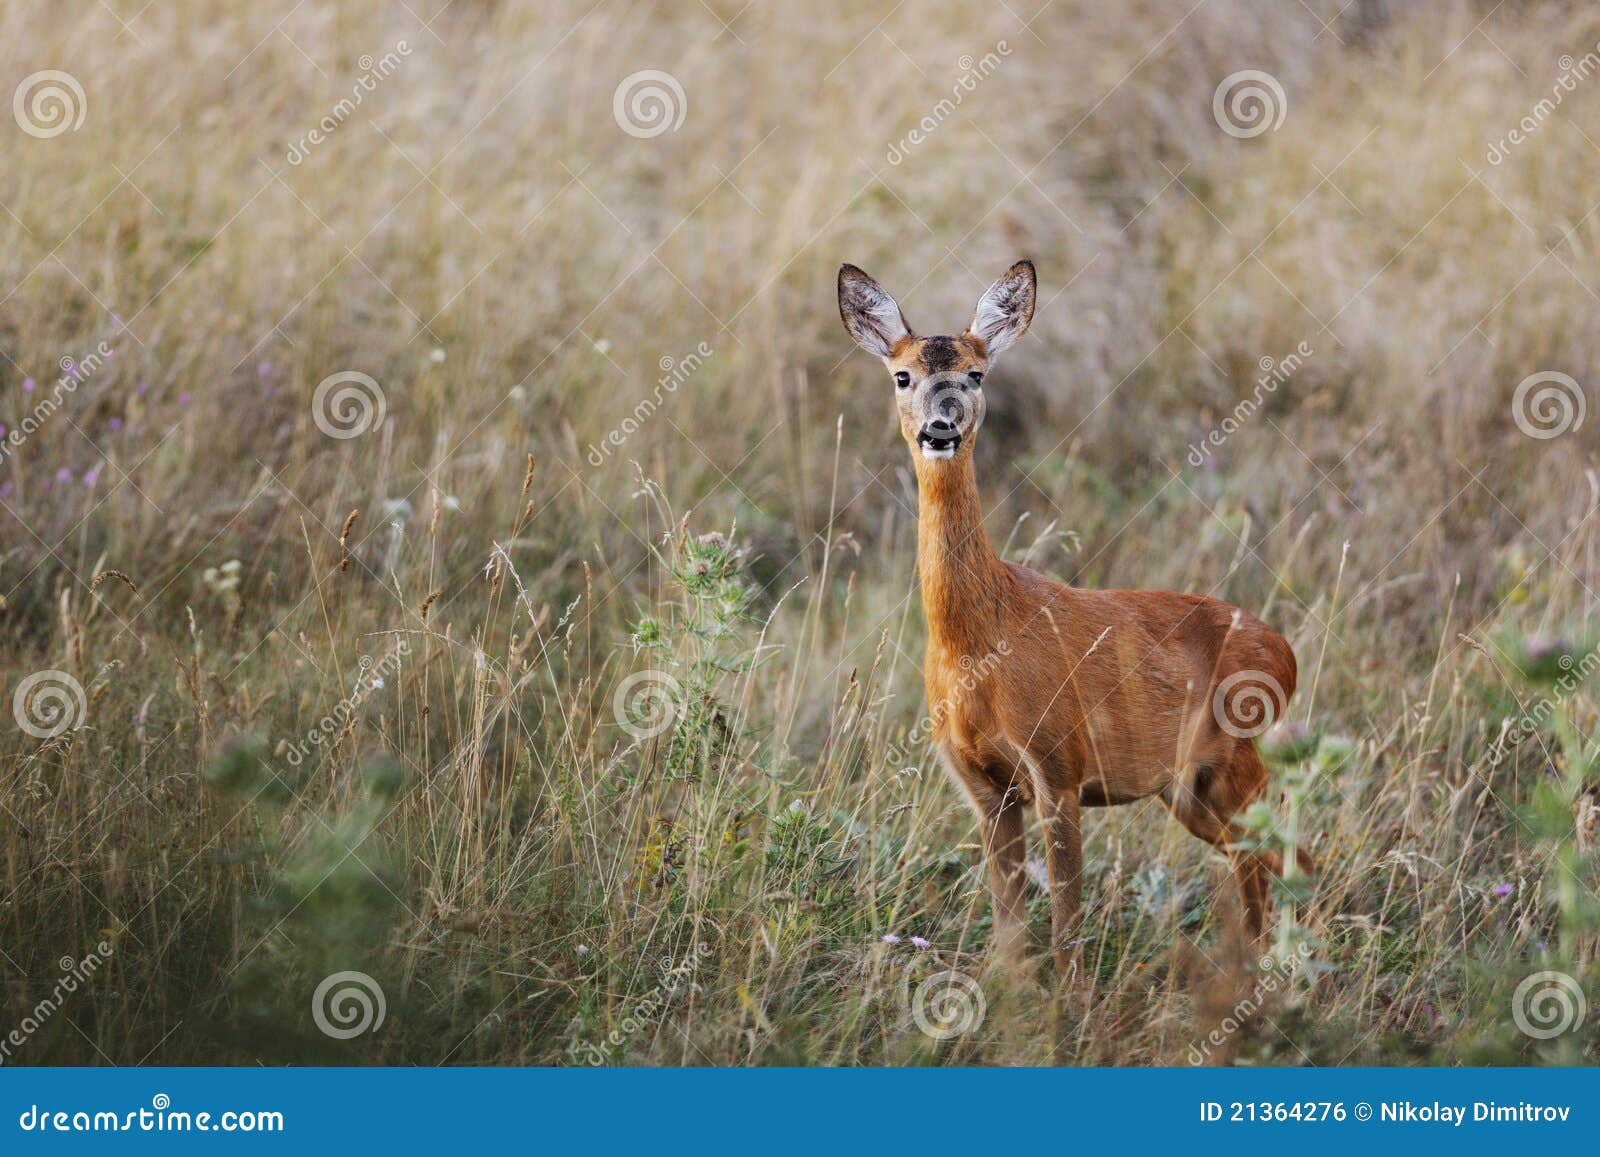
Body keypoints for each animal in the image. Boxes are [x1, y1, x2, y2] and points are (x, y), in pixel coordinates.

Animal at [838, 259, 1312, 979]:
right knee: (1261, 855)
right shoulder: (981, 784)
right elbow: (1009, 921)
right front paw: (1010, 987)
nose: (940, 428)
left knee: (1284, 850)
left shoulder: (1058, 764)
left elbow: (1065, 921)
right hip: (1188, 788)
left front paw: (1069, 998)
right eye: (902, 375)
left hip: (1236, 758)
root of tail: (1285, 652)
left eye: (976, 374)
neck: (978, 646)